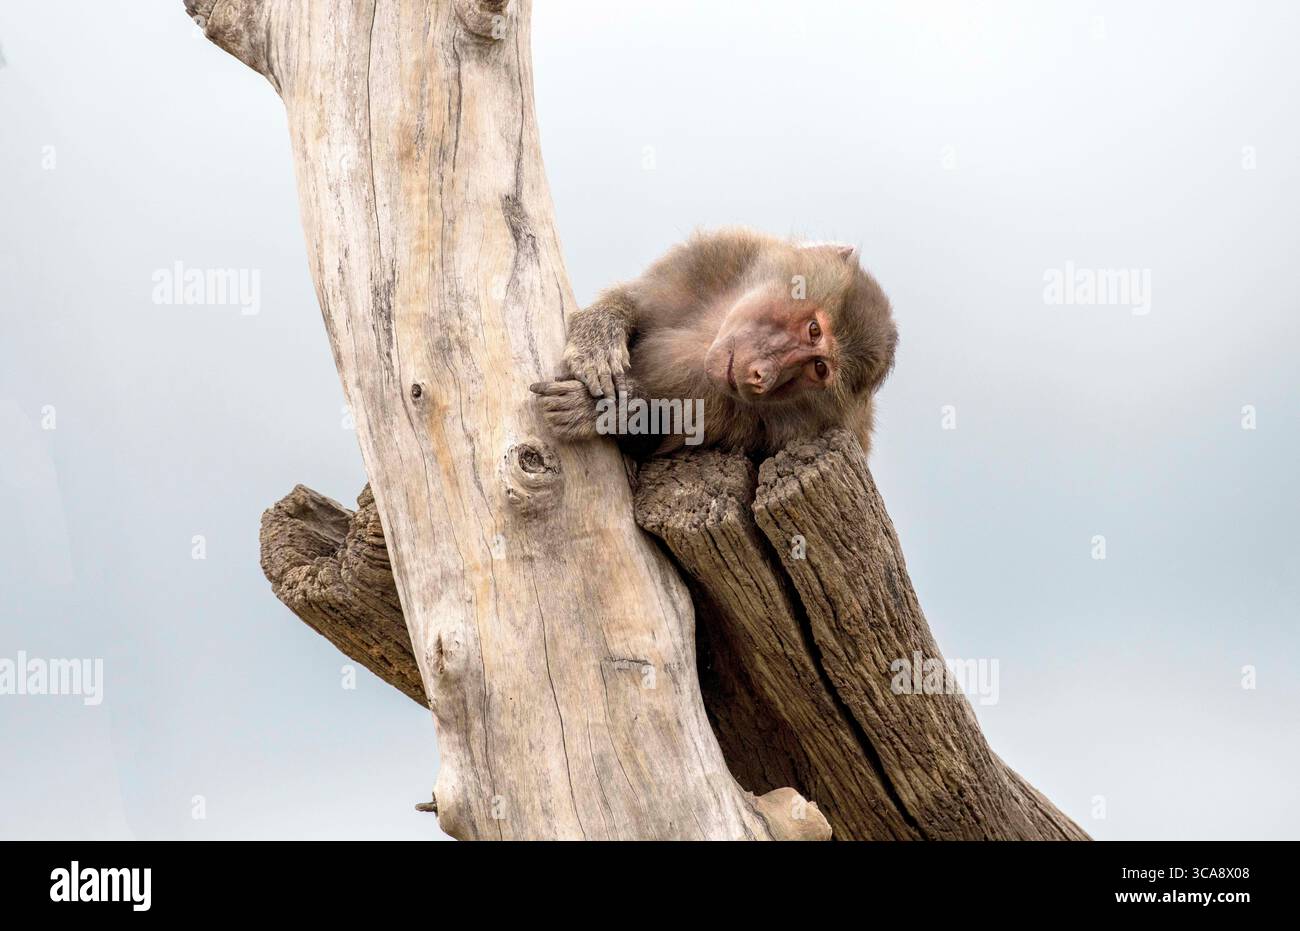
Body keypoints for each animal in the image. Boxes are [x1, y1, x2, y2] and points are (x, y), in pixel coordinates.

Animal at [530, 228, 898, 459]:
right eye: (814, 330)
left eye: (818, 368)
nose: (763, 374)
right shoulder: (716, 256)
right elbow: (636, 300)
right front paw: (599, 336)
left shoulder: (754, 429)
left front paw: (611, 410)